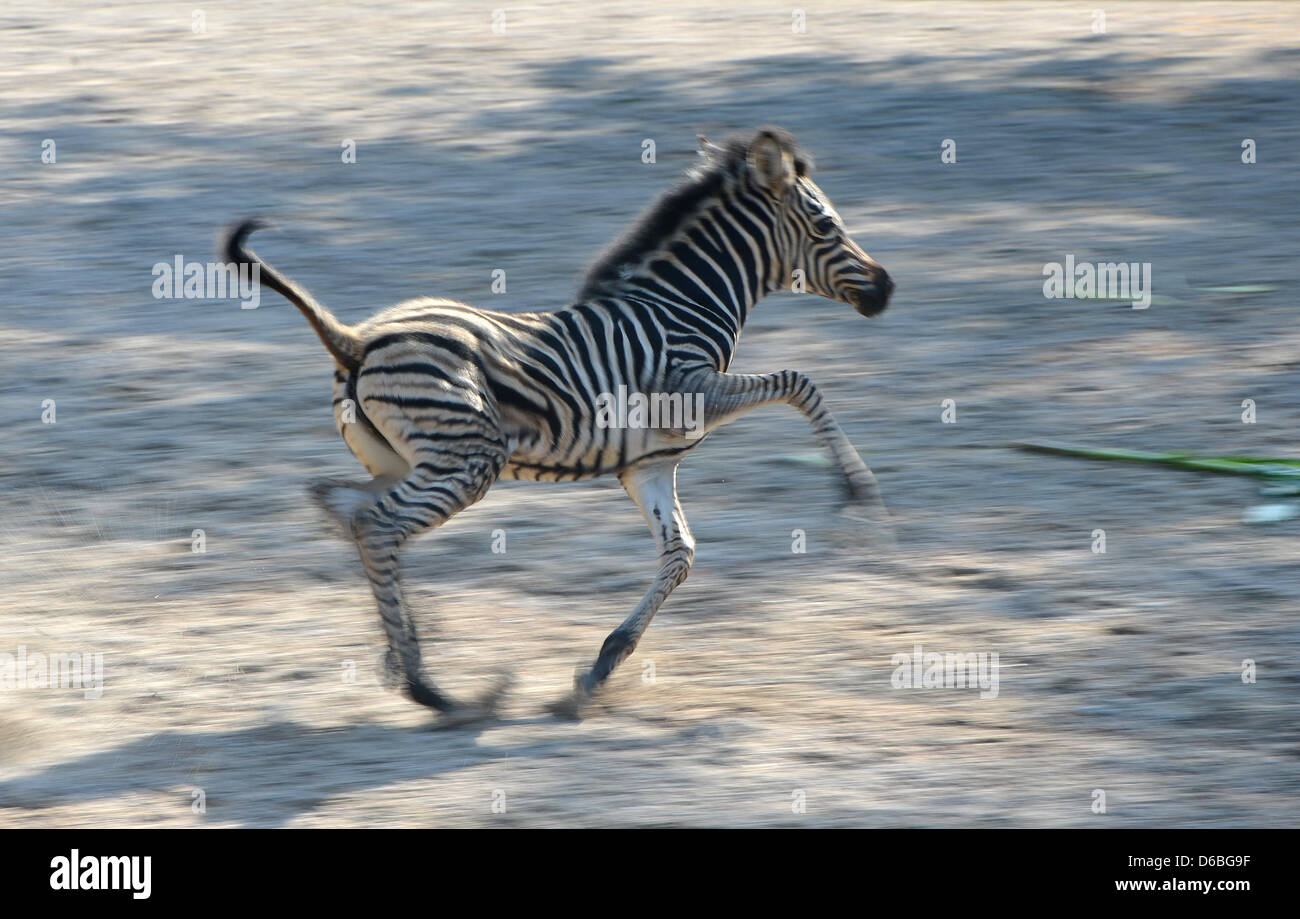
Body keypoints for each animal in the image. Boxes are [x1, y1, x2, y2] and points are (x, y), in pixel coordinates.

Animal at [224, 126, 894, 723]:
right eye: (827, 227)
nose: (886, 288)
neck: (681, 305)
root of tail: (355, 339)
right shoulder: (690, 392)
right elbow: (801, 382)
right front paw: (857, 492)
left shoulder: (648, 465)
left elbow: (680, 555)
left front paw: (599, 670)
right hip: (468, 462)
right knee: (378, 526)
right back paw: (431, 687)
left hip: (403, 462)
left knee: (341, 507)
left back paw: (411, 647)